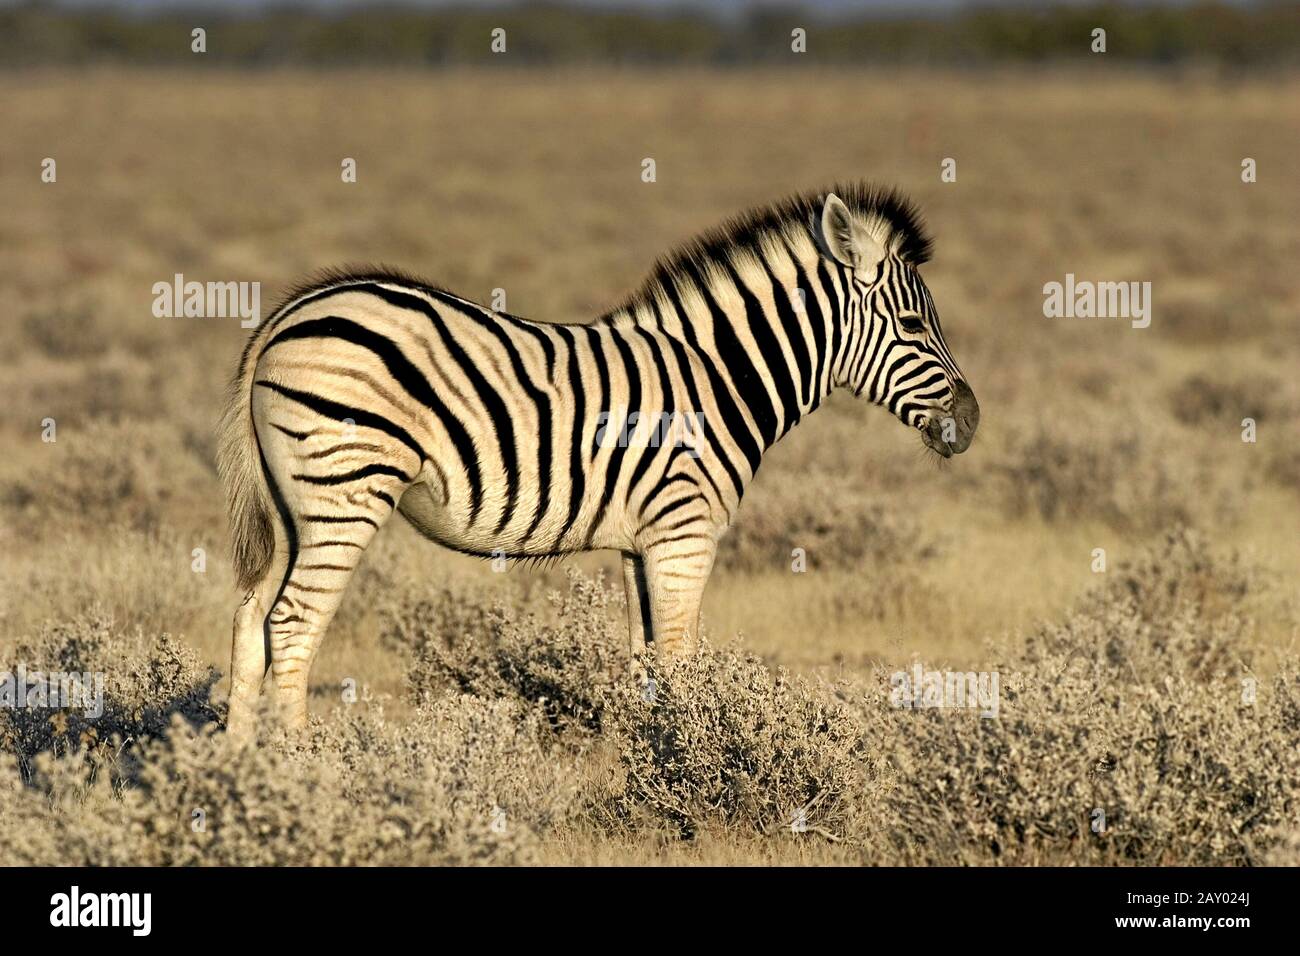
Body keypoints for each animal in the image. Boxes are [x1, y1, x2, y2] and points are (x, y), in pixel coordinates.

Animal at [218, 183, 979, 735]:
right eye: (914, 324)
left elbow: (648, 665)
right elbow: (681, 663)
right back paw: (305, 774)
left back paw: (240, 776)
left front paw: (654, 773)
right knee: (292, 626)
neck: (719, 379)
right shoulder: (684, 533)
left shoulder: (640, 543)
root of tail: (284, 317)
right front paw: (696, 771)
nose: (970, 421)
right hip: (344, 493)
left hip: (293, 508)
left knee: (252, 620)